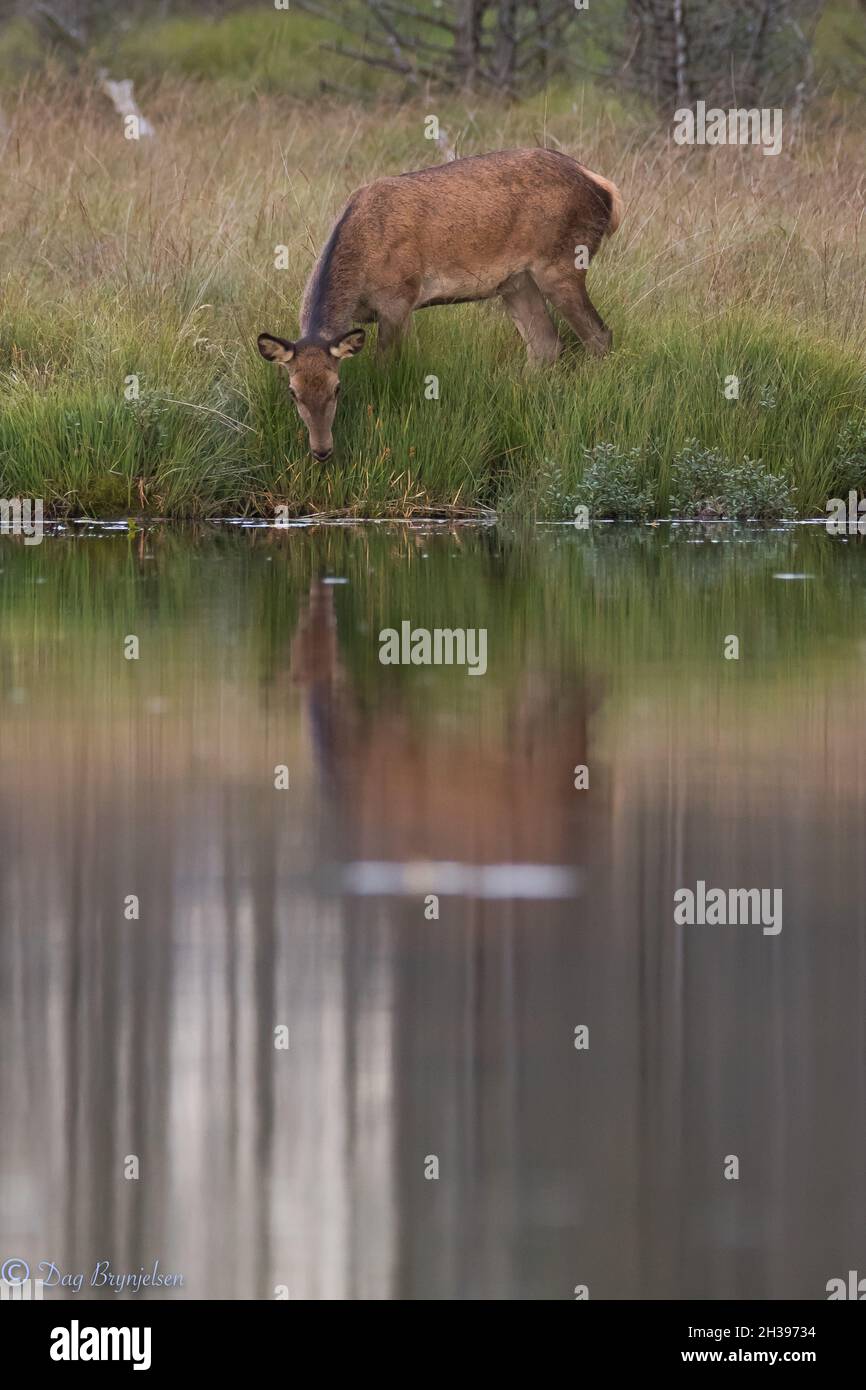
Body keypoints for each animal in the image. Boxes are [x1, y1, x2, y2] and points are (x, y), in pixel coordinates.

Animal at [257, 148, 622, 461]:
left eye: (337, 388)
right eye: (293, 391)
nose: (321, 451)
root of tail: (605, 187)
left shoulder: (399, 298)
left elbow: (388, 368)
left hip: (562, 263)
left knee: (599, 335)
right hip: (517, 283)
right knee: (546, 344)